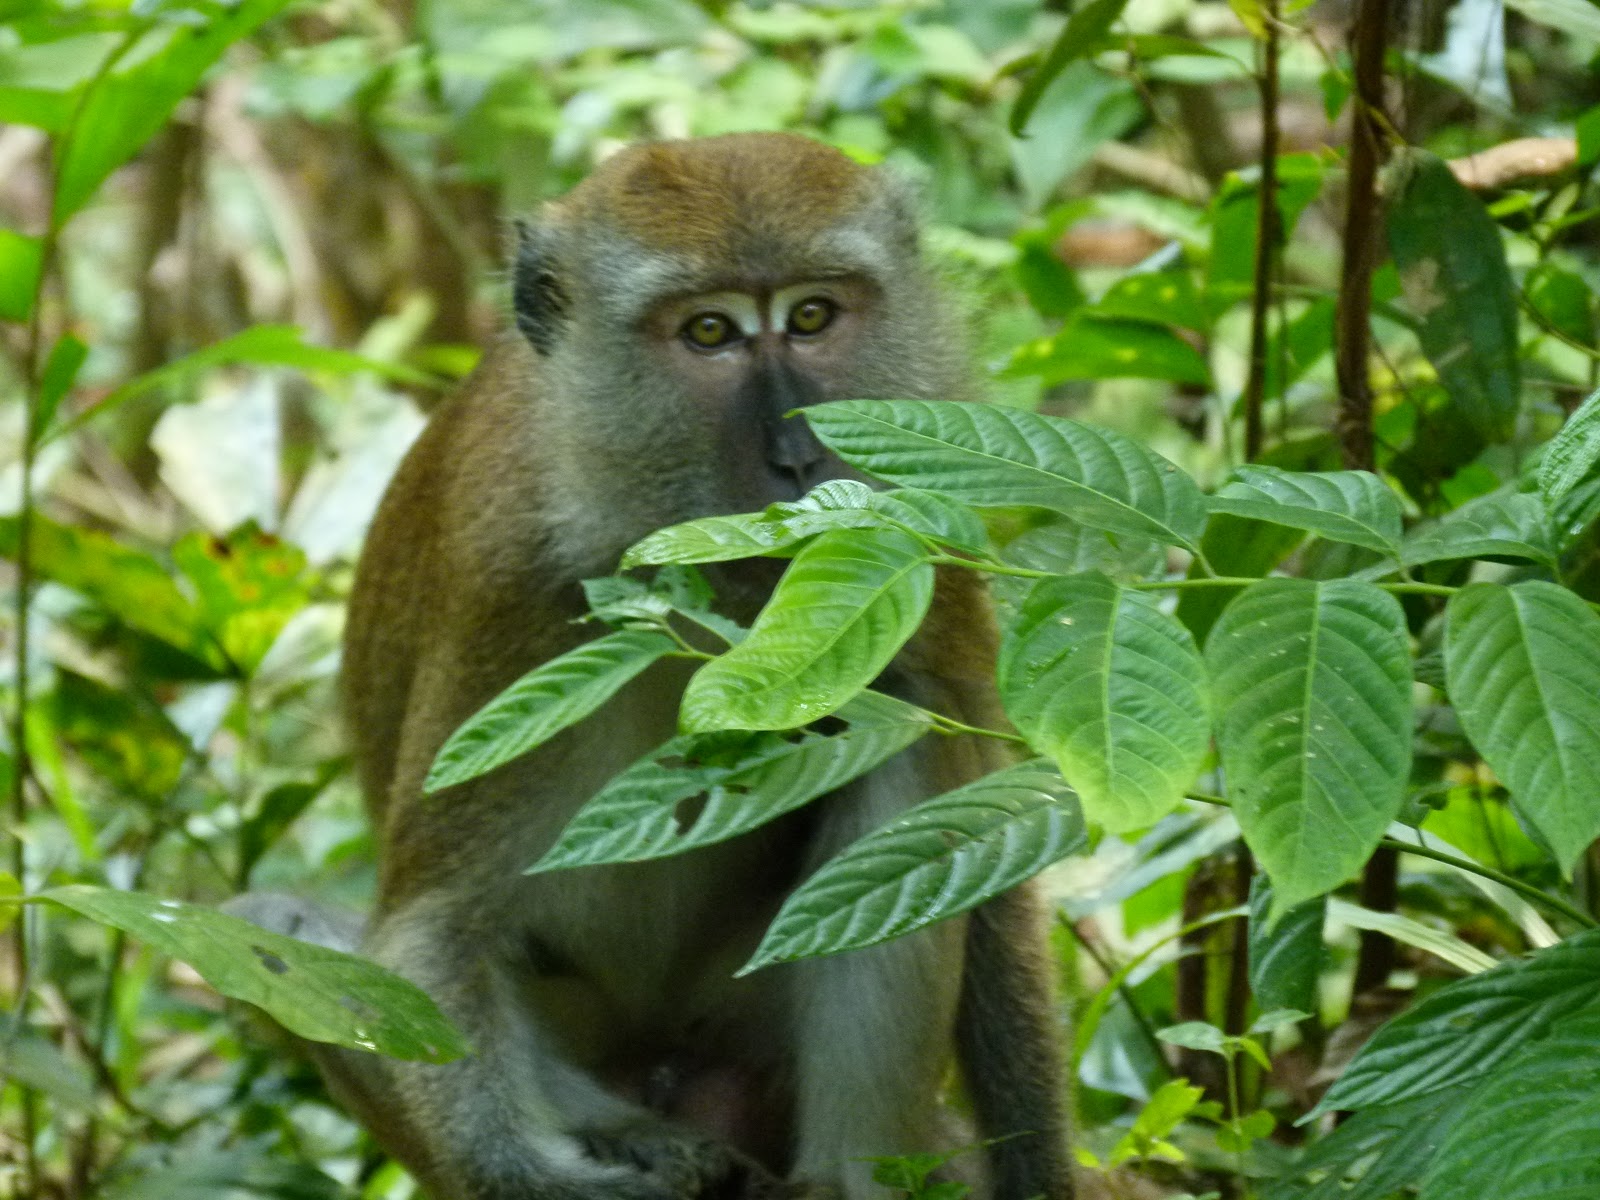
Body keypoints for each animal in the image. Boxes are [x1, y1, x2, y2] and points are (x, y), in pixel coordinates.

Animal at [239, 132, 1075, 1200]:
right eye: (709, 333)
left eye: (812, 316)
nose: (800, 454)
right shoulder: (503, 584)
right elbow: (431, 932)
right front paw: (549, 1174)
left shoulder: (913, 533)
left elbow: (989, 832)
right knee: (273, 924)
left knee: (906, 735)